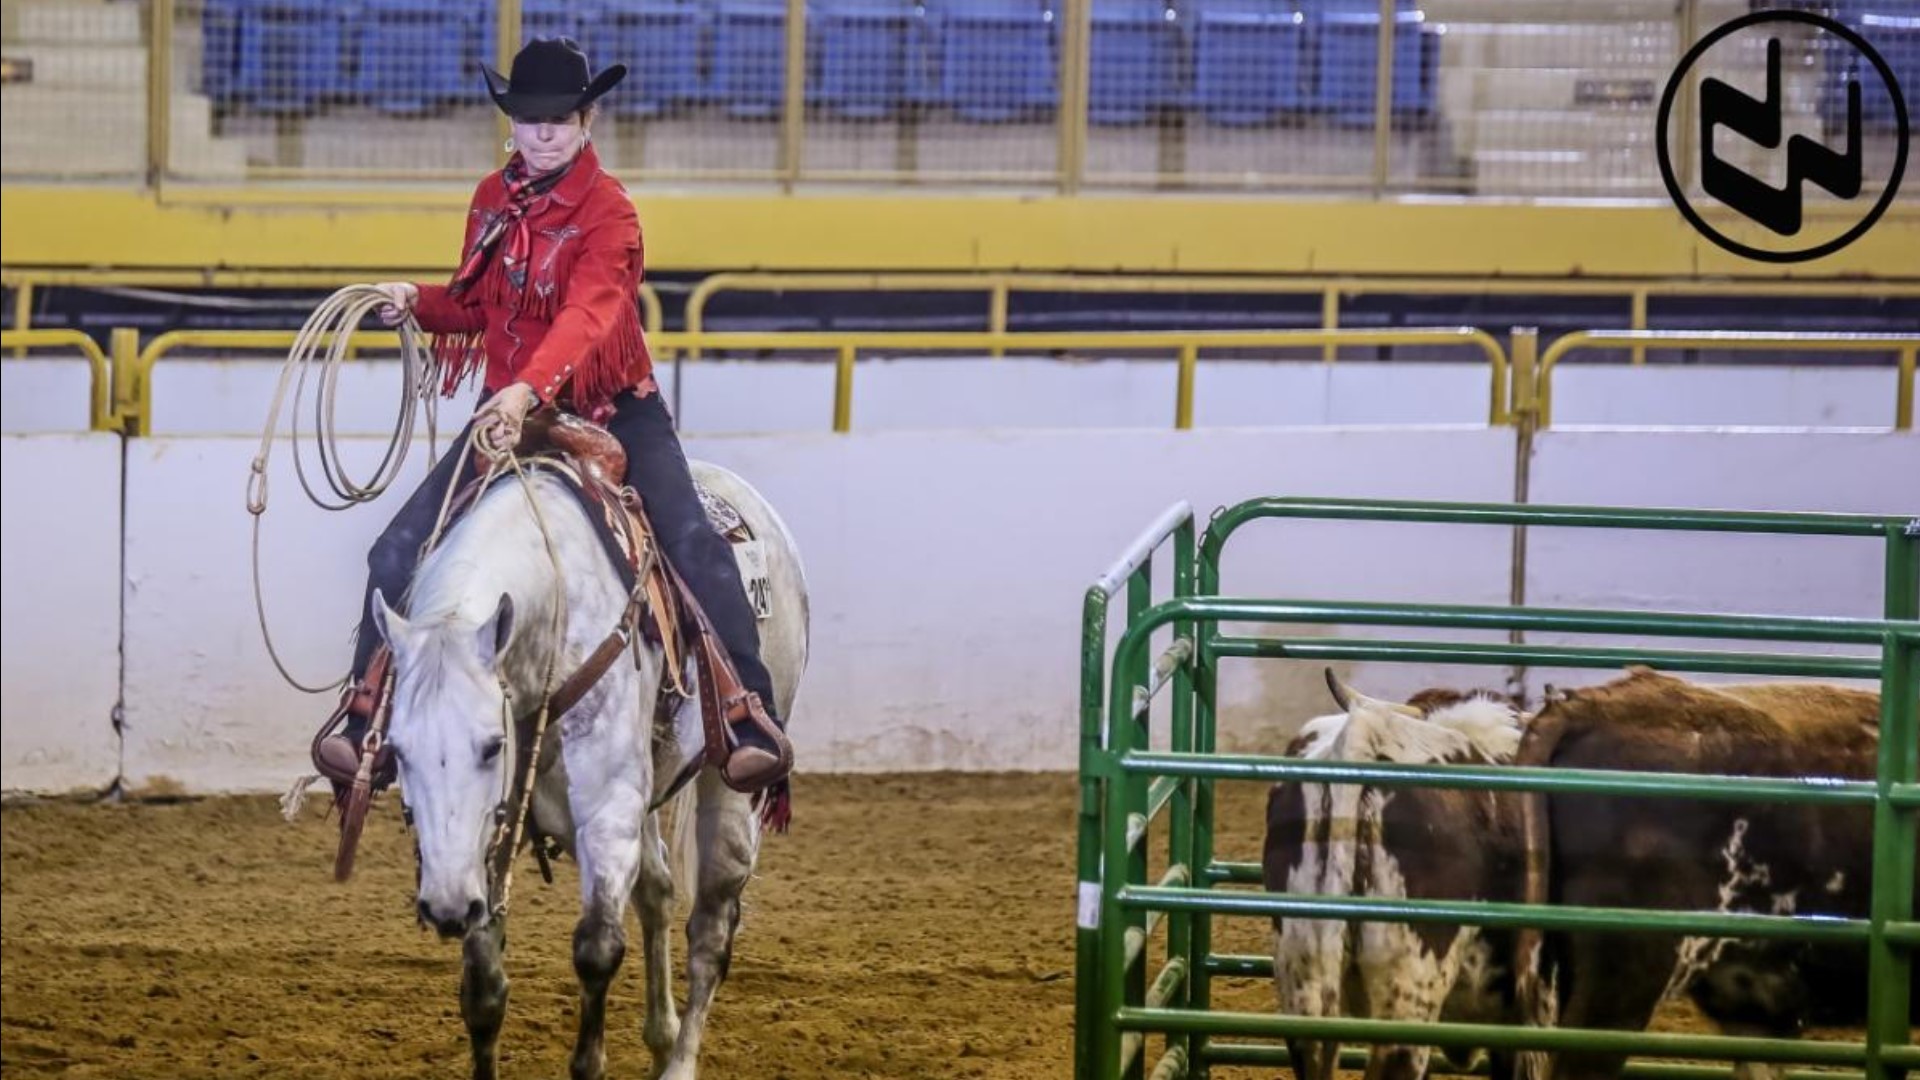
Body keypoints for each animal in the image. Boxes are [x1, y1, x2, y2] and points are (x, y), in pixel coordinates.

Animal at [368, 457, 808, 1080]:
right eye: (398, 749)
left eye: (492, 746)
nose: (446, 908)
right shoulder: (484, 841)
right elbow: (483, 988)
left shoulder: (606, 813)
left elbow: (598, 948)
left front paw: (591, 1059)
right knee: (659, 890)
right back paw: (660, 1036)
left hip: (731, 793)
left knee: (710, 934)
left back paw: (679, 1062)